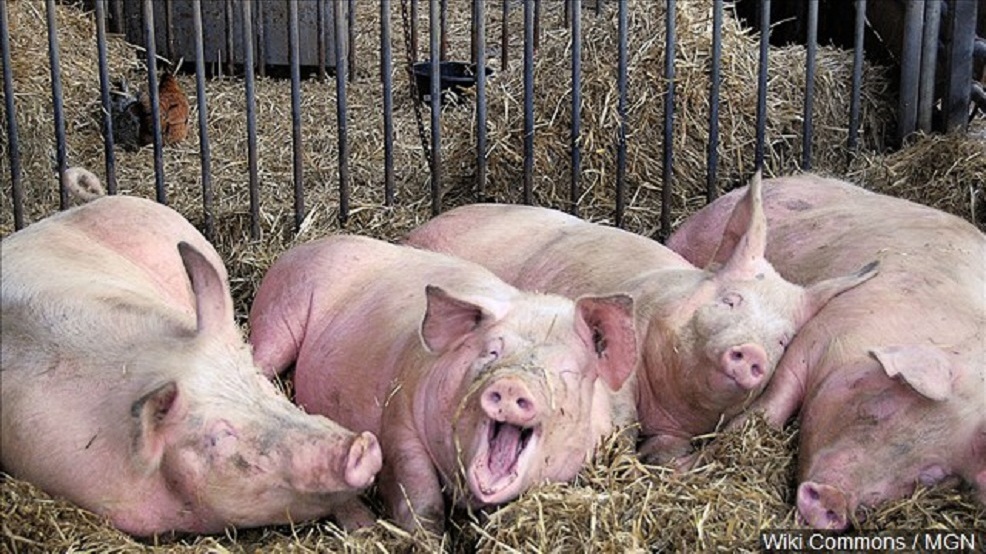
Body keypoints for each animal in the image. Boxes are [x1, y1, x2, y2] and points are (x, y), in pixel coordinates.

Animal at [248, 234, 638, 533]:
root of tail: (307, 244)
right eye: (492, 351)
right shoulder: (400, 414)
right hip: (278, 313)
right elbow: (421, 496)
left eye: (567, 372)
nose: (512, 385)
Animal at [404, 171, 879, 465]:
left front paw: (665, 459)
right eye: (731, 301)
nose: (752, 354)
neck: (672, 401)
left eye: (782, 340)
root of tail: (421, 227)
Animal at [667, 174, 986, 530]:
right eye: (878, 408)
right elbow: (771, 407)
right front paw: (677, 470)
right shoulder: (817, 335)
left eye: (930, 477)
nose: (833, 499)